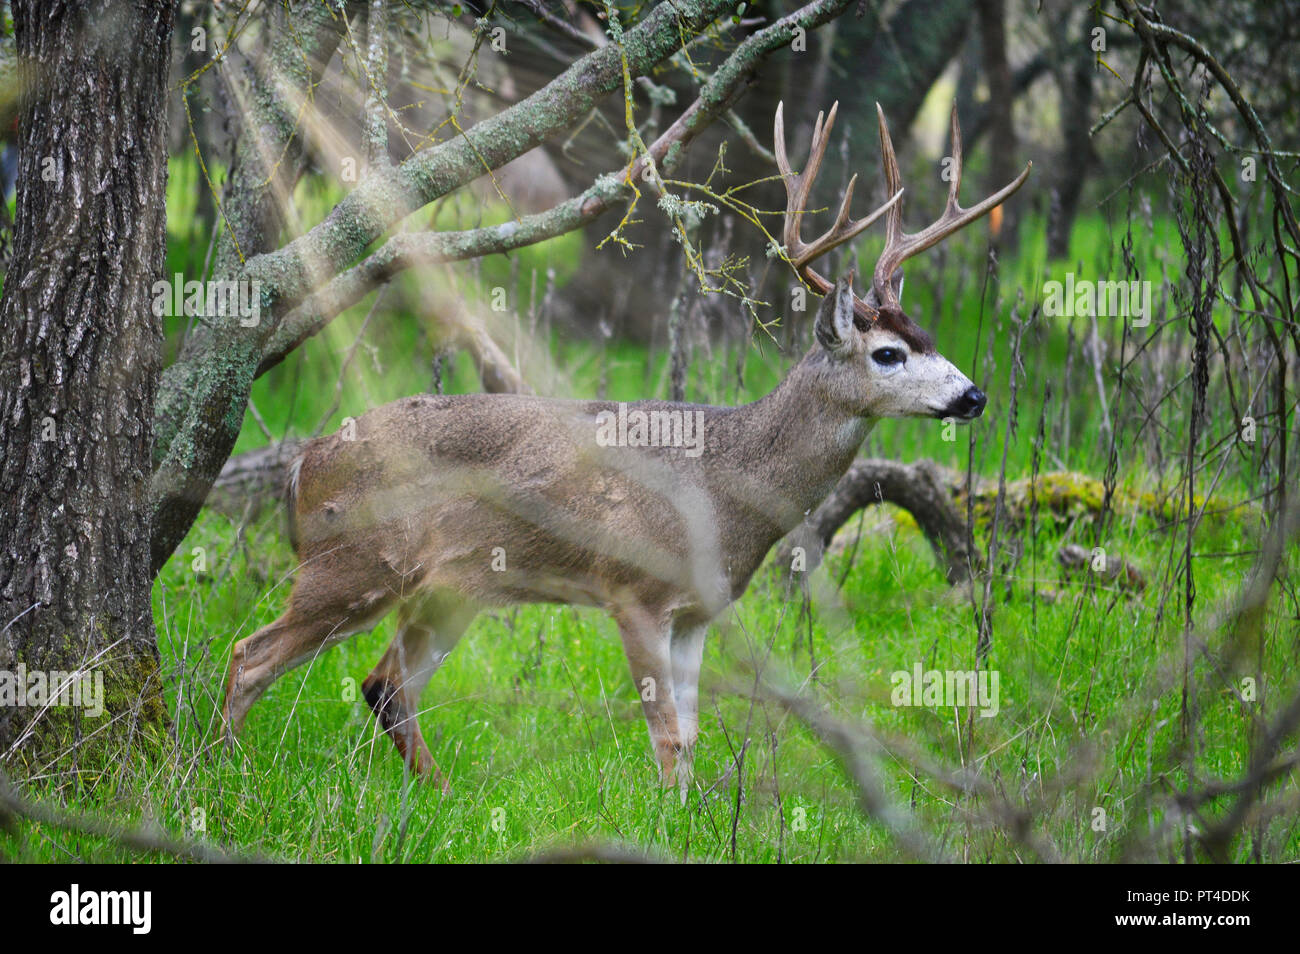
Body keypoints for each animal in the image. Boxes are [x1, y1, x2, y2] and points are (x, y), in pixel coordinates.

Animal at [220, 101, 1030, 796]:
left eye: (928, 337)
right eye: (889, 353)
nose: (974, 396)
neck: (724, 486)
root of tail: (305, 460)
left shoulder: (701, 609)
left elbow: (693, 734)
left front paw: (691, 816)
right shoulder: (632, 588)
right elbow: (665, 733)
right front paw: (670, 819)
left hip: (449, 588)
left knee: (384, 684)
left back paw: (441, 795)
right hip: (352, 561)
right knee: (251, 654)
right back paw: (221, 773)